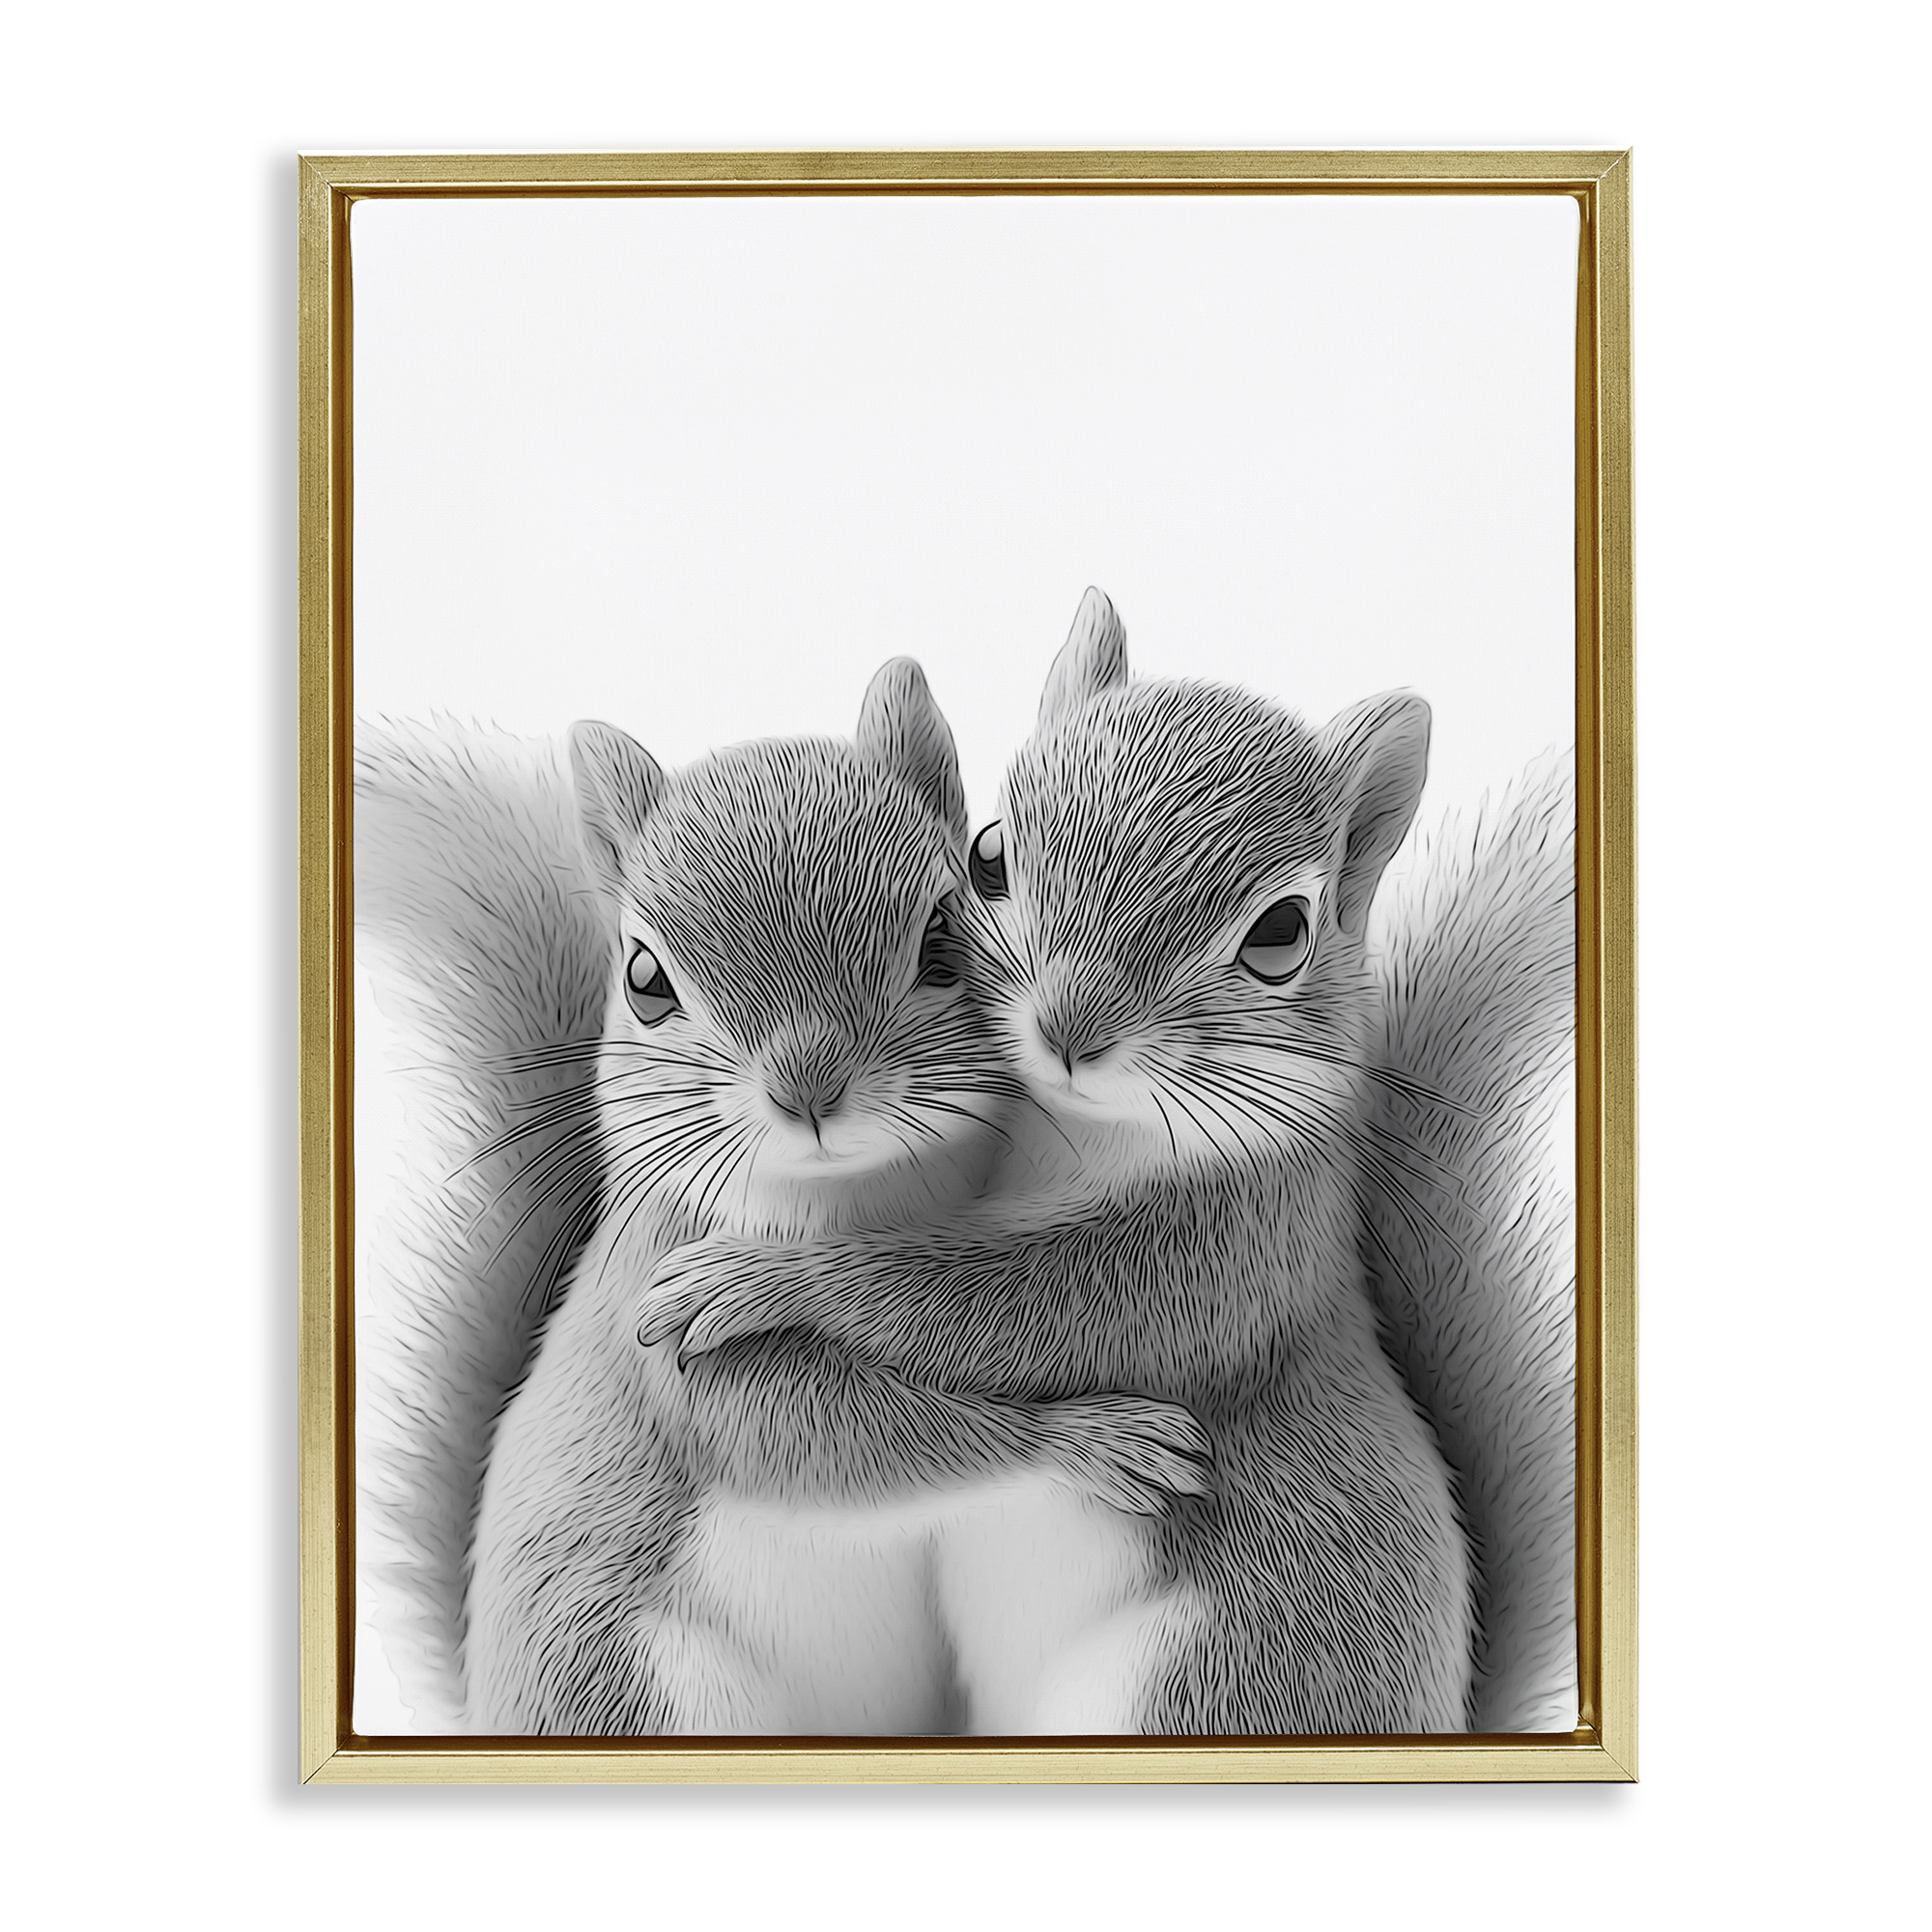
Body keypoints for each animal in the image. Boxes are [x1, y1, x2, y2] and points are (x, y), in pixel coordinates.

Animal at [359, 662, 1214, 1734]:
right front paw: (1090, 1439)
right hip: (649, 1694)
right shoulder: (655, 1302)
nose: (808, 1088)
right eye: (643, 977)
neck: (853, 1195)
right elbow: (795, 1431)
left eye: (944, 933)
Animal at [639, 590, 1479, 1733]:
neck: (1068, 1136)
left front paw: (758, 1276)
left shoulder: (1232, 1250)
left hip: (1197, 1689)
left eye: (1280, 932)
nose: (1070, 1028)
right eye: (990, 855)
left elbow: (1016, 1308)